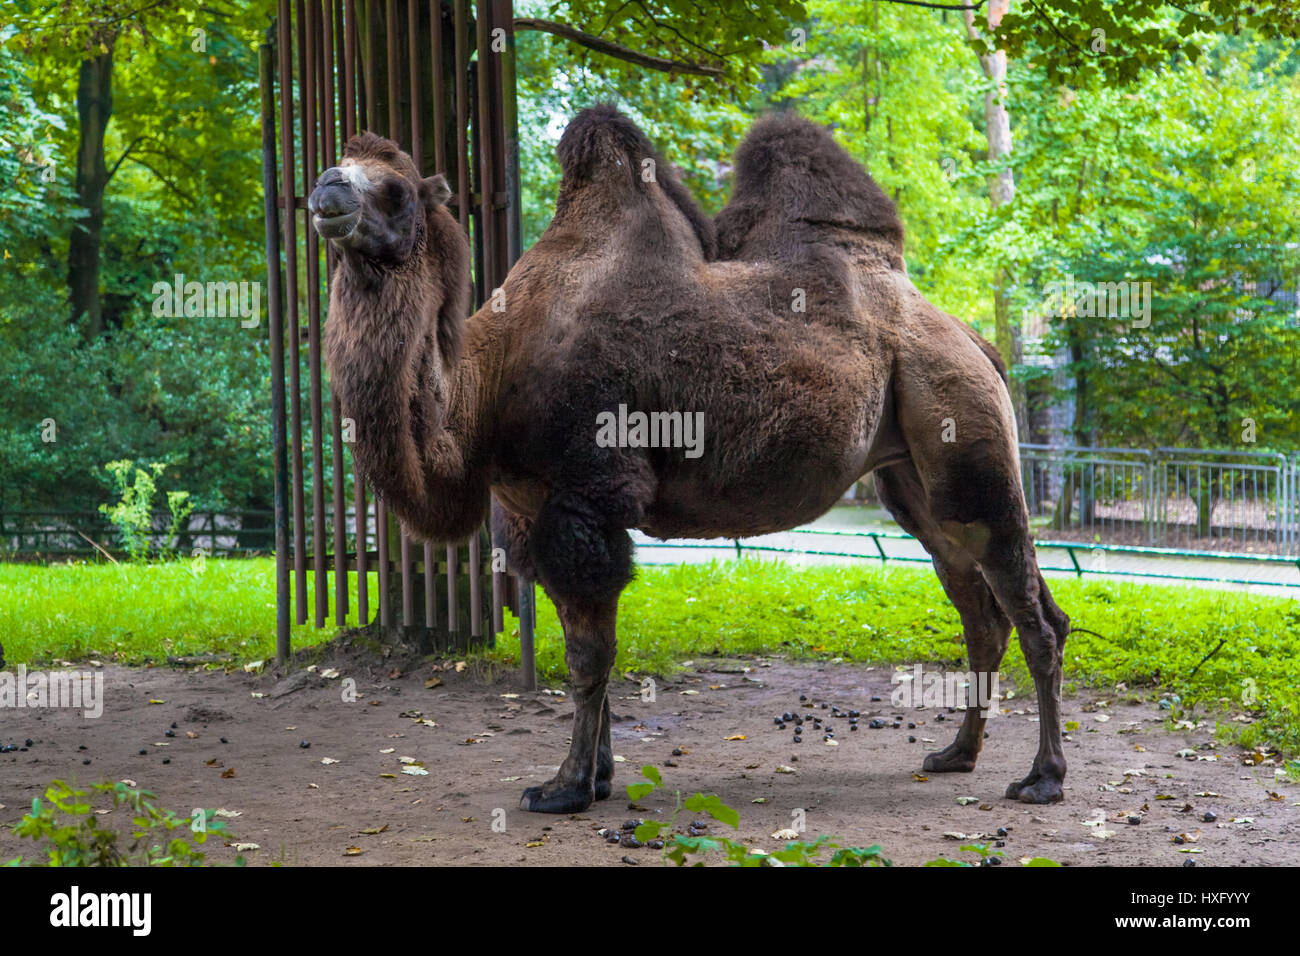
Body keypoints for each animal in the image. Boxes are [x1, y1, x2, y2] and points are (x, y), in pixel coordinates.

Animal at [308, 107, 1071, 815]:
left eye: (397, 189)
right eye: (338, 159)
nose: (324, 189)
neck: (487, 382)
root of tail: (974, 339)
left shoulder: (584, 495)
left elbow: (587, 657)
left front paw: (564, 787)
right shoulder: (528, 512)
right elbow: (591, 648)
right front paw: (600, 776)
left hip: (964, 427)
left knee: (1032, 615)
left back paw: (1042, 778)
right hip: (912, 476)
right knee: (981, 610)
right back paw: (955, 753)